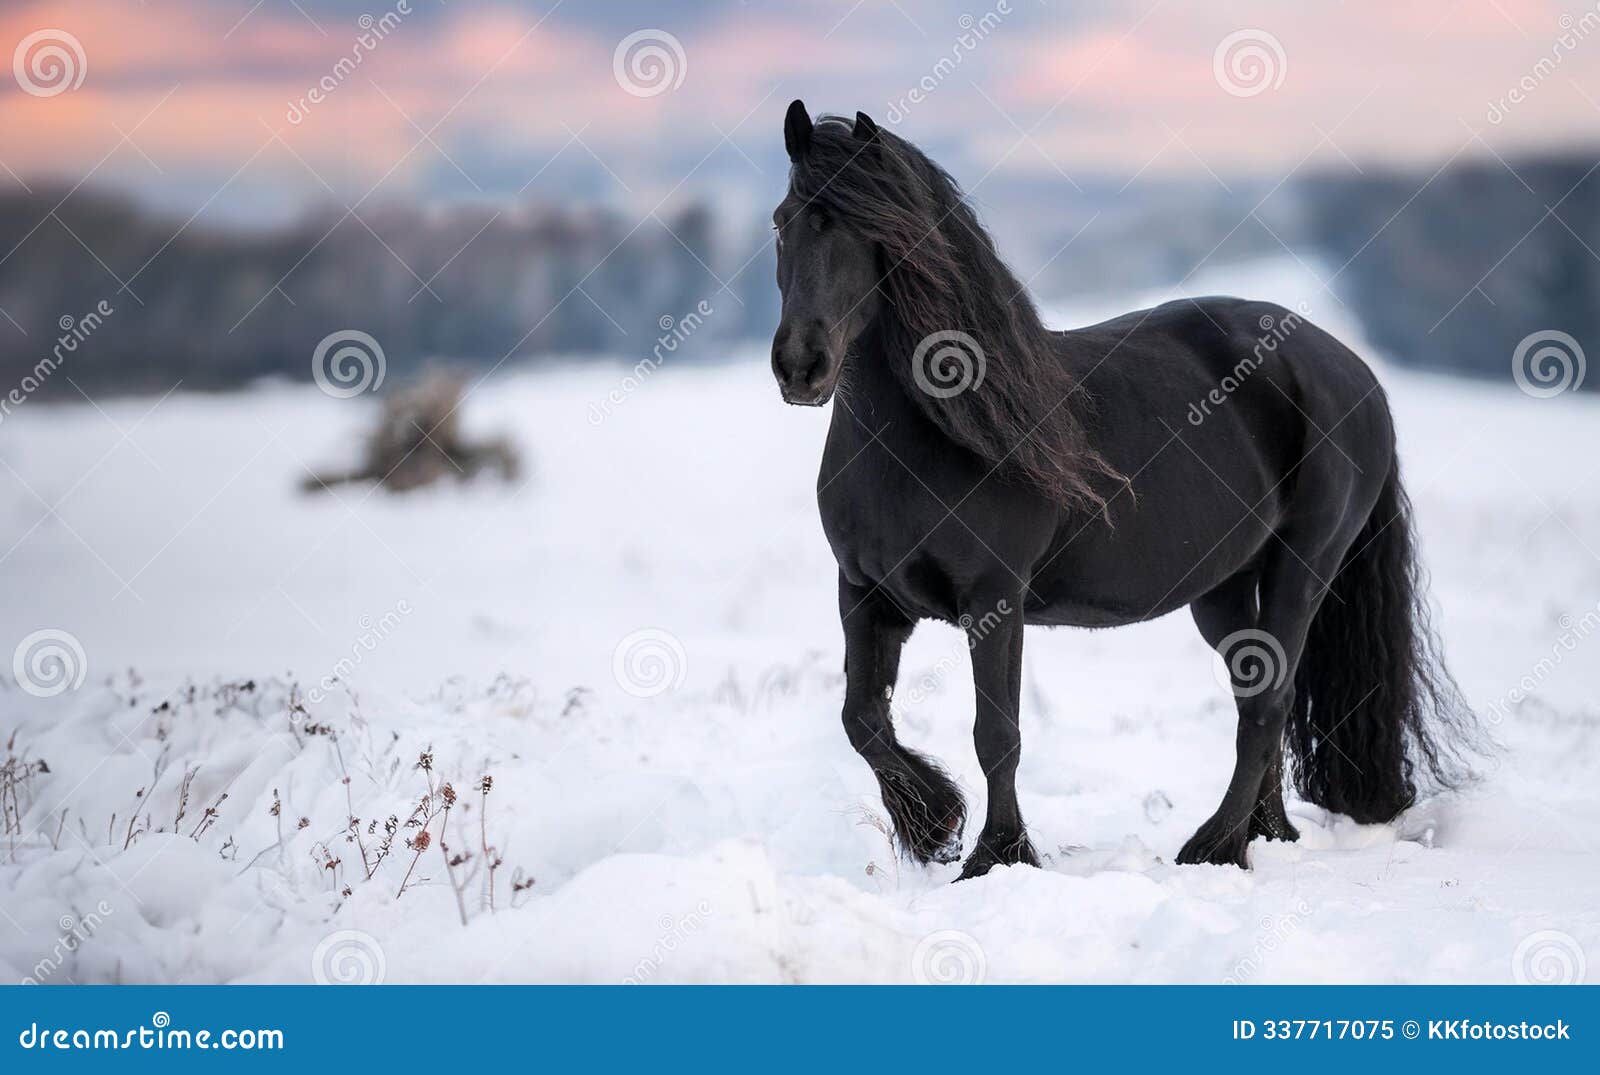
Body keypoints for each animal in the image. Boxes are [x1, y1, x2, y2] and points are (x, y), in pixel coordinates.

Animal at [769, 100, 1473, 879]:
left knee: (1268, 703)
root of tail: (1355, 373)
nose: (801, 366)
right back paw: (1264, 834)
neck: (927, 439)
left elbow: (997, 735)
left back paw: (1214, 847)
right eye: (781, 222)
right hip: (1225, 589)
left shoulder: (995, 600)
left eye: (871, 233)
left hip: (1305, 565)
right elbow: (862, 719)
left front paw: (994, 857)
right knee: (1262, 694)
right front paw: (932, 824)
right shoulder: (865, 594)